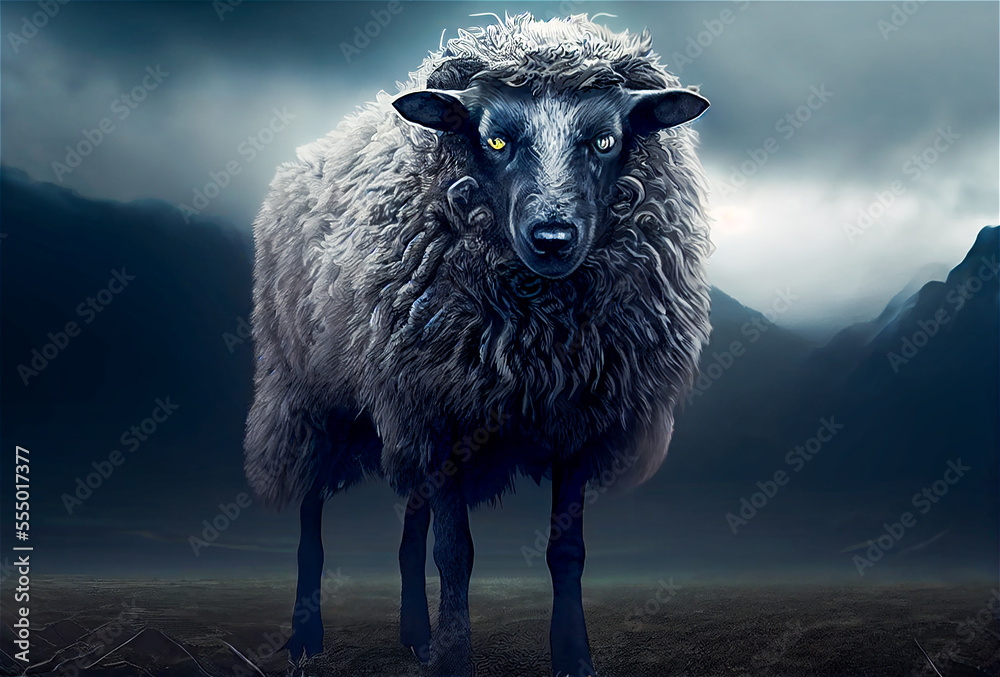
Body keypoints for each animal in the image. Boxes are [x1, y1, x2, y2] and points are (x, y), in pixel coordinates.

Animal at [244, 12, 712, 677]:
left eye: (604, 141)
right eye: (494, 142)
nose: (552, 237)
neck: (540, 334)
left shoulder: (571, 417)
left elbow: (565, 552)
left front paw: (572, 656)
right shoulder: (440, 413)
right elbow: (455, 553)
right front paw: (453, 658)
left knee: (410, 528)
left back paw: (416, 633)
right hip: (311, 395)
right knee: (311, 516)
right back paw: (307, 637)